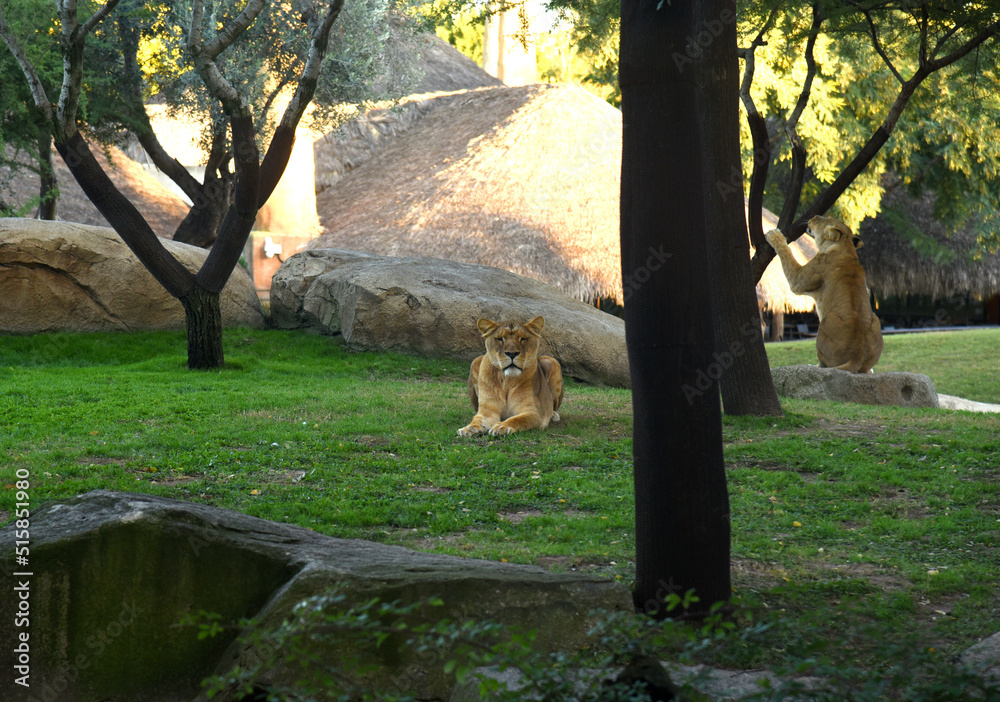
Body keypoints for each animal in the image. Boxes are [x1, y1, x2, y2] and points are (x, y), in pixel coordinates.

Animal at [765, 215, 883, 373]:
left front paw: (774, 236)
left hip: (826, 321)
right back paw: (869, 370)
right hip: (875, 321)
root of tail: (857, 354)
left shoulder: (798, 280)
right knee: (864, 369)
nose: (813, 216)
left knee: (826, 365)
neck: (846, 247)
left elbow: (786, 253)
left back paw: (813, 366)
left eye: (825, 218)